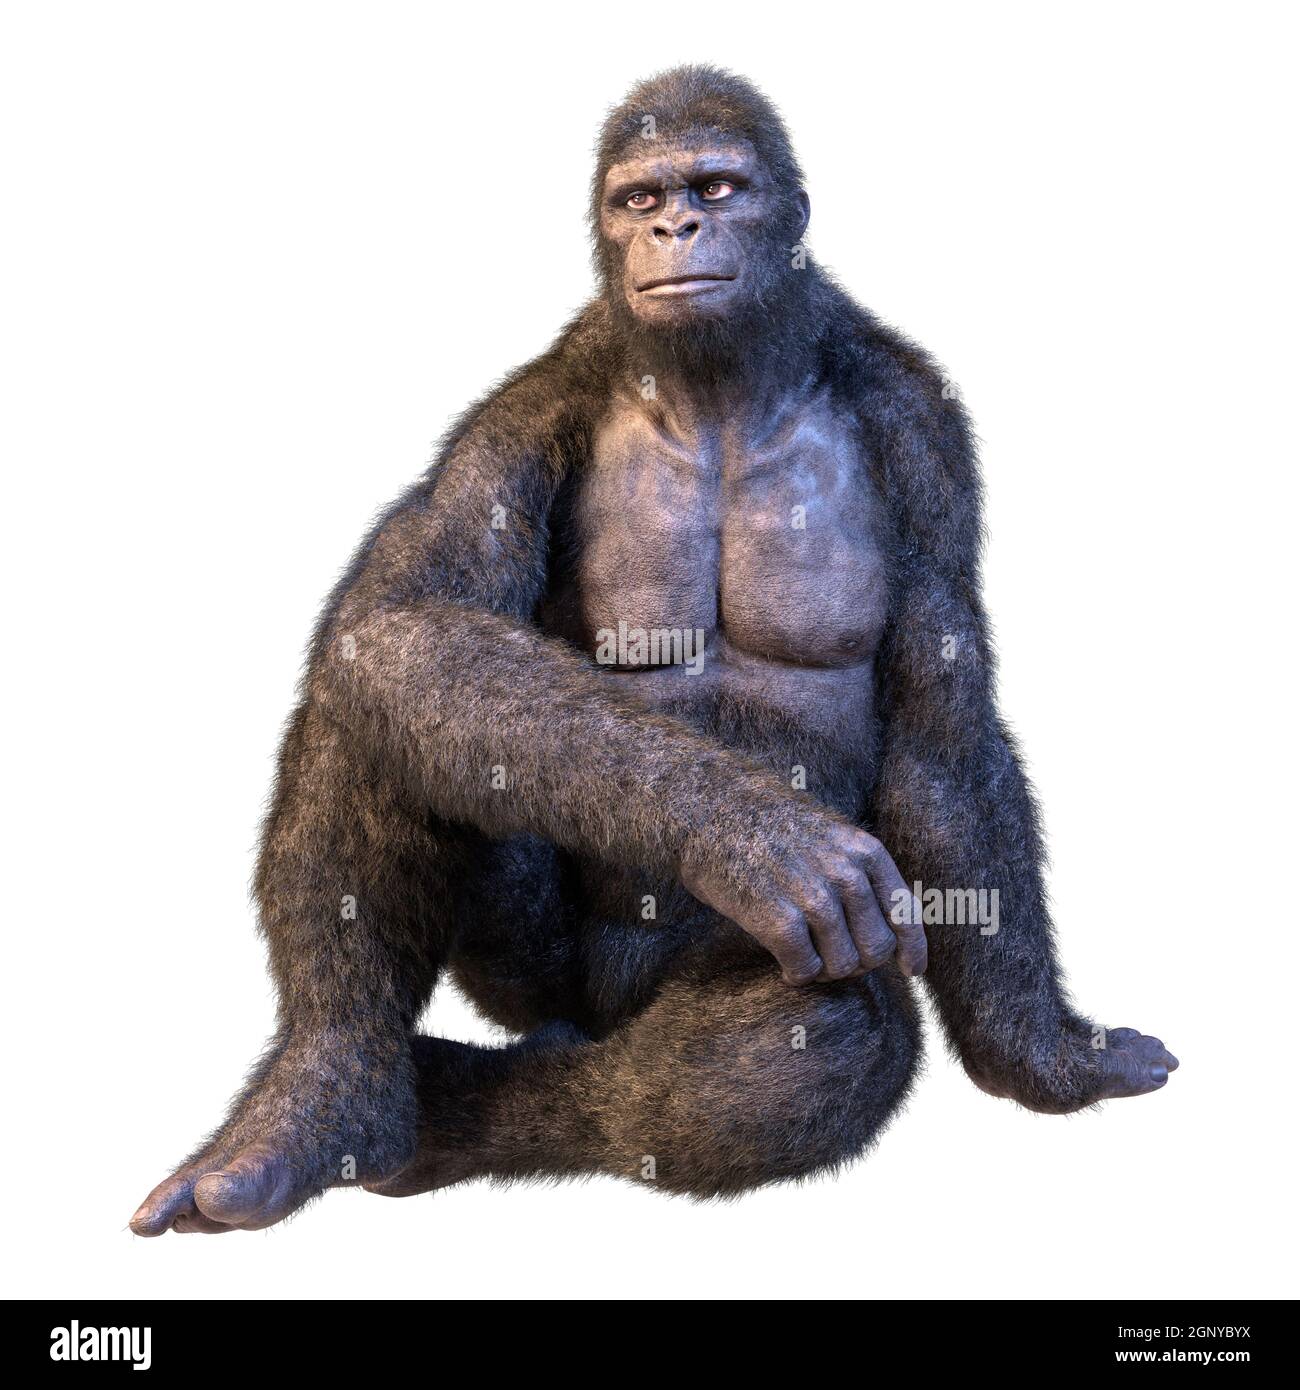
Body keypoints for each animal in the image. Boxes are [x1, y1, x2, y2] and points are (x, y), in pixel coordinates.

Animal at [131, 65, 1177, 1234]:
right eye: (639, 199)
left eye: (715, 187)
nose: (674, 228)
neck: (724, 385)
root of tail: (598, 1014)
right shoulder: (528, 410)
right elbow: (404, 614)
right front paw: (757, 837)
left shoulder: (922, 431)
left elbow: (939, 743)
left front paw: (1043, 1056)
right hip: (537, 972)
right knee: (391, 675)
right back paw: (329, 1098)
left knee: (811, 1034)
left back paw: (442, 1108)